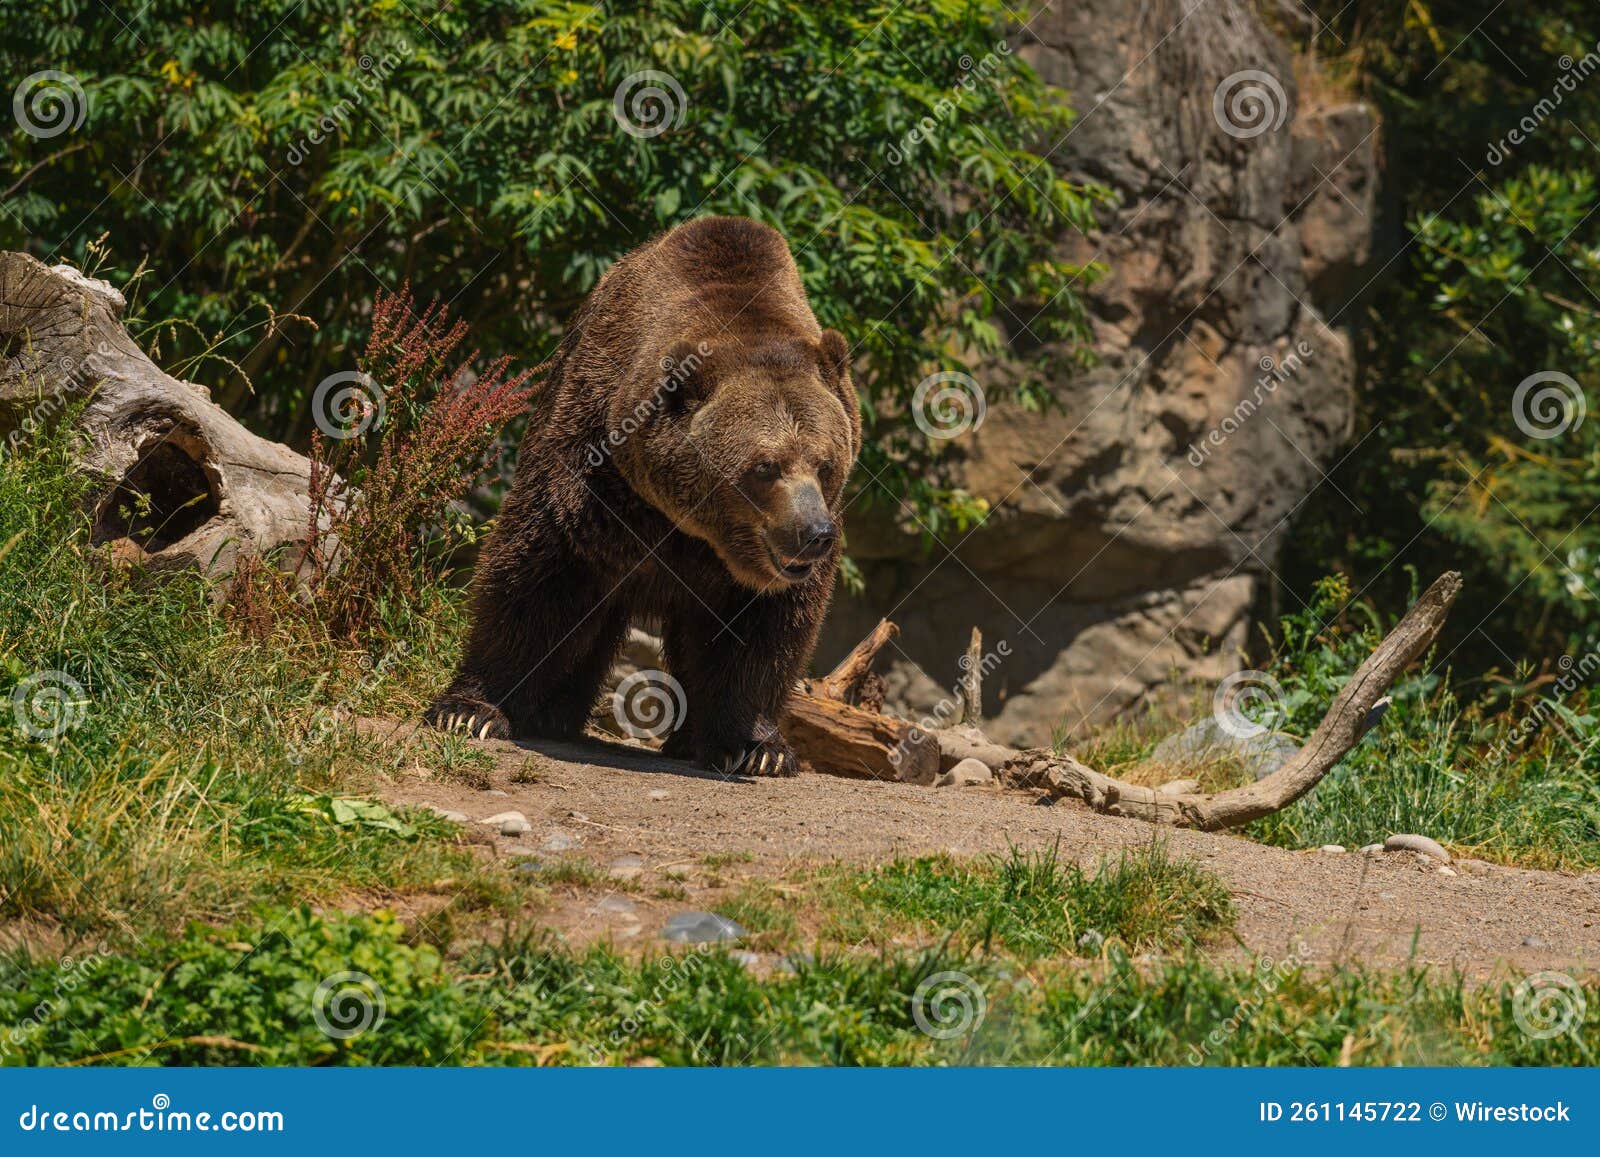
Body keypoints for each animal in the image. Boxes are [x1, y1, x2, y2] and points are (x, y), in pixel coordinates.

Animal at [424, 216, 861, 777]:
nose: (813, 534)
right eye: (765, 467)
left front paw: (757, 747)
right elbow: (537, 577)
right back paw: (552, 712)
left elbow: (765, 631)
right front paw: (470, 710)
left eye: (825, 464)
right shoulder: (593, 475)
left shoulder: (752, 572)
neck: (692, 528)